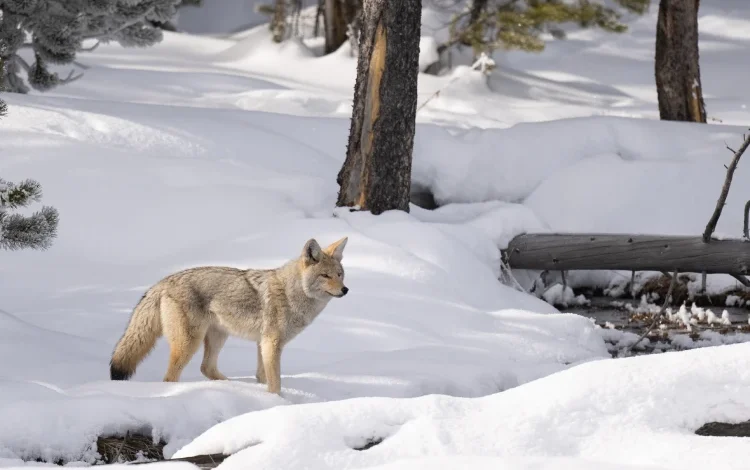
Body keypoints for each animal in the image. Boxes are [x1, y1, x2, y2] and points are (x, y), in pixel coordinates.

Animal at [109, 237, 348, 394]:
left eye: (339, 274)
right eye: (325, 276)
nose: (345, 290)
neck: (292, 293)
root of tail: (162, 282)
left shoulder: (263, 343)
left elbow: (262, 377)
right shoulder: (271, 344)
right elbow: (275, 383)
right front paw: (278, 403)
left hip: (217, 336)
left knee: (206, 368)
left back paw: (234, 387)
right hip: (190, 343)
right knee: (170, 378)